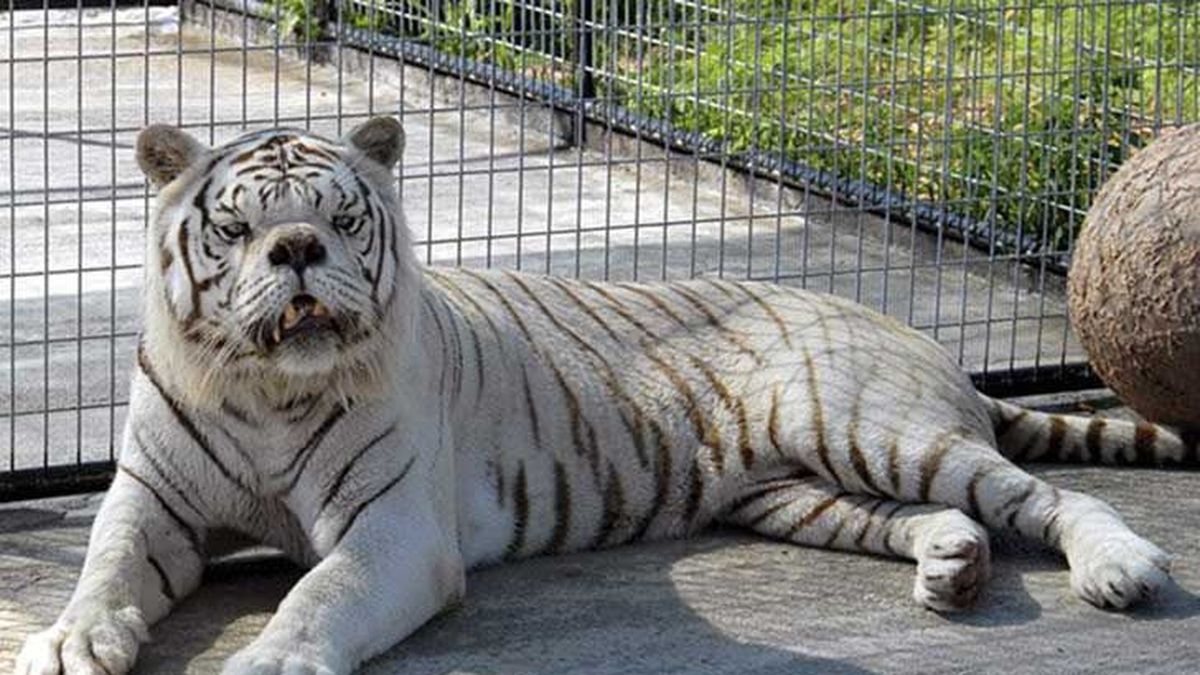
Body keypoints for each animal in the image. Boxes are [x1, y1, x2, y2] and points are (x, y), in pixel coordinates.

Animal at [16, 116, 1197, 675]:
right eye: (239, 225)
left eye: (341, 217)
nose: (299, 250)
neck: (265, 388)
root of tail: (920, 334)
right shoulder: (154, 499)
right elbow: (102, 566)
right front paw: (71, 640)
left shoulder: (393, 527)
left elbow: (321, 593)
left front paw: (270, 656)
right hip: (798, 490)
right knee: (940, 517)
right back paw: (952, 567)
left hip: (869, 426)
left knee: (1046, 495)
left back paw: (1122, 567)